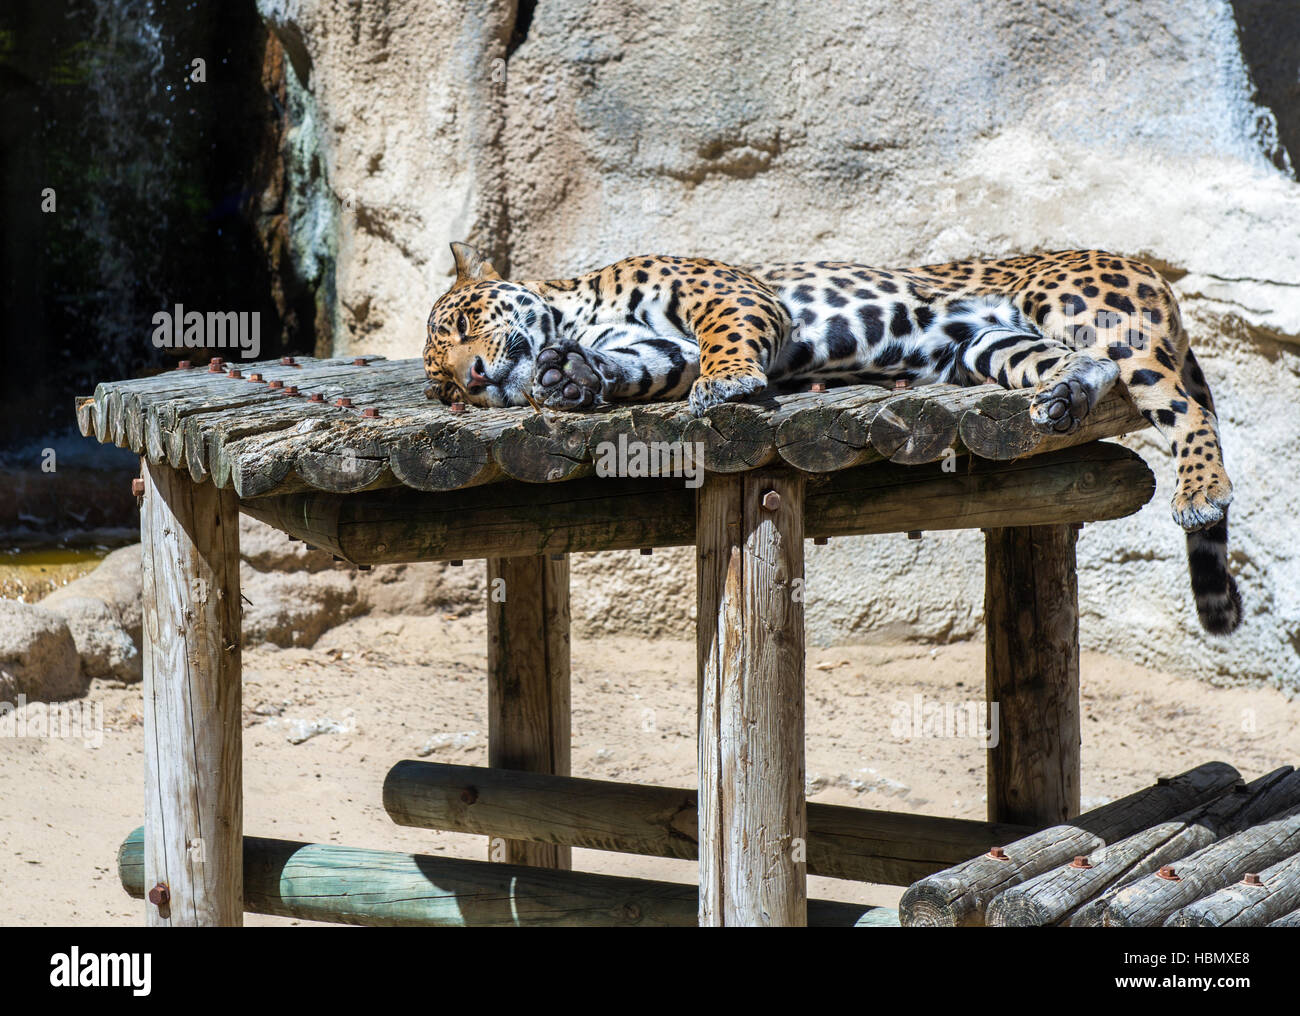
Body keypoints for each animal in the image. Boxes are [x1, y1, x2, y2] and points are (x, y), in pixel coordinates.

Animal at [425, 241, 1241, 635]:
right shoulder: (659, 350)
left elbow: (722, 342)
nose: (476, 380)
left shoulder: (728, 294)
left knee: (1183, 409)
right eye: (445, 389)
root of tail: (1147, 266)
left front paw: (727, 386)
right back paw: (1065, 395)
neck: (579, 311)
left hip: (1080, 304)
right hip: (992, 345)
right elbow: (632, 363)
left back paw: (1201, 492)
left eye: (461, 324)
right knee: (1089, 370)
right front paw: (567, 380)